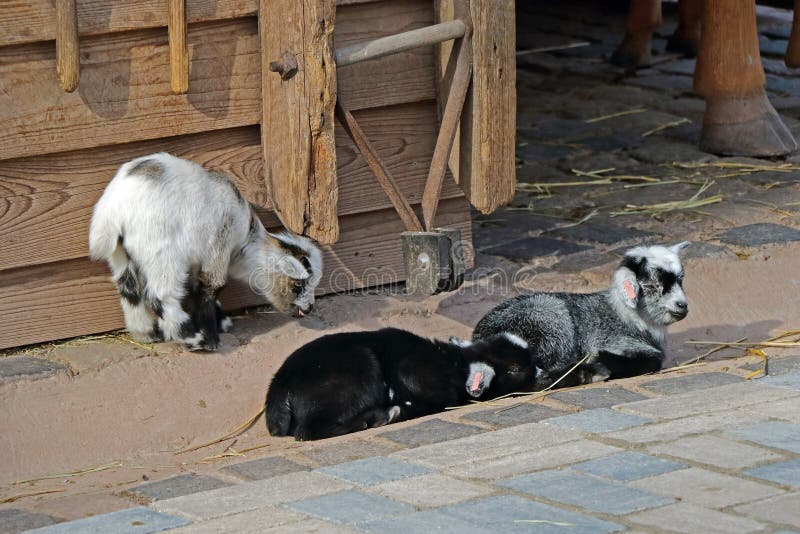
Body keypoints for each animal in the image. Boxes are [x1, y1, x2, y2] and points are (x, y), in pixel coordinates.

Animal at [89, 153, 322, 351]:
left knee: (129, 289)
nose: (310, 308)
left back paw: (145, 333)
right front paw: (211, 337)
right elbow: (212, 286)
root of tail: (111, 210)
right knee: (161, 295)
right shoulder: (219, 246)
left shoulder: (198, 259)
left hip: (121, 254)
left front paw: (221, 322)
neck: (246, 240)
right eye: (297, 285)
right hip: (161, 250)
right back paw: (192, 338)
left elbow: (197, 287)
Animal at [266, 328, 542, 441]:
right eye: (515, 369)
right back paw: (380, 417)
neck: (453, 362)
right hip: (359, 371)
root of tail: (278, 384)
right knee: (308, 431)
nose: (543, 372)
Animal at [473, 243, 690, 386]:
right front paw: (601, 362)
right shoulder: (612, 340)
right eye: (652, 285)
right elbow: (653, 359)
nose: (683, 306)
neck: (627, 316)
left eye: (681, 280)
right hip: (551, 325)